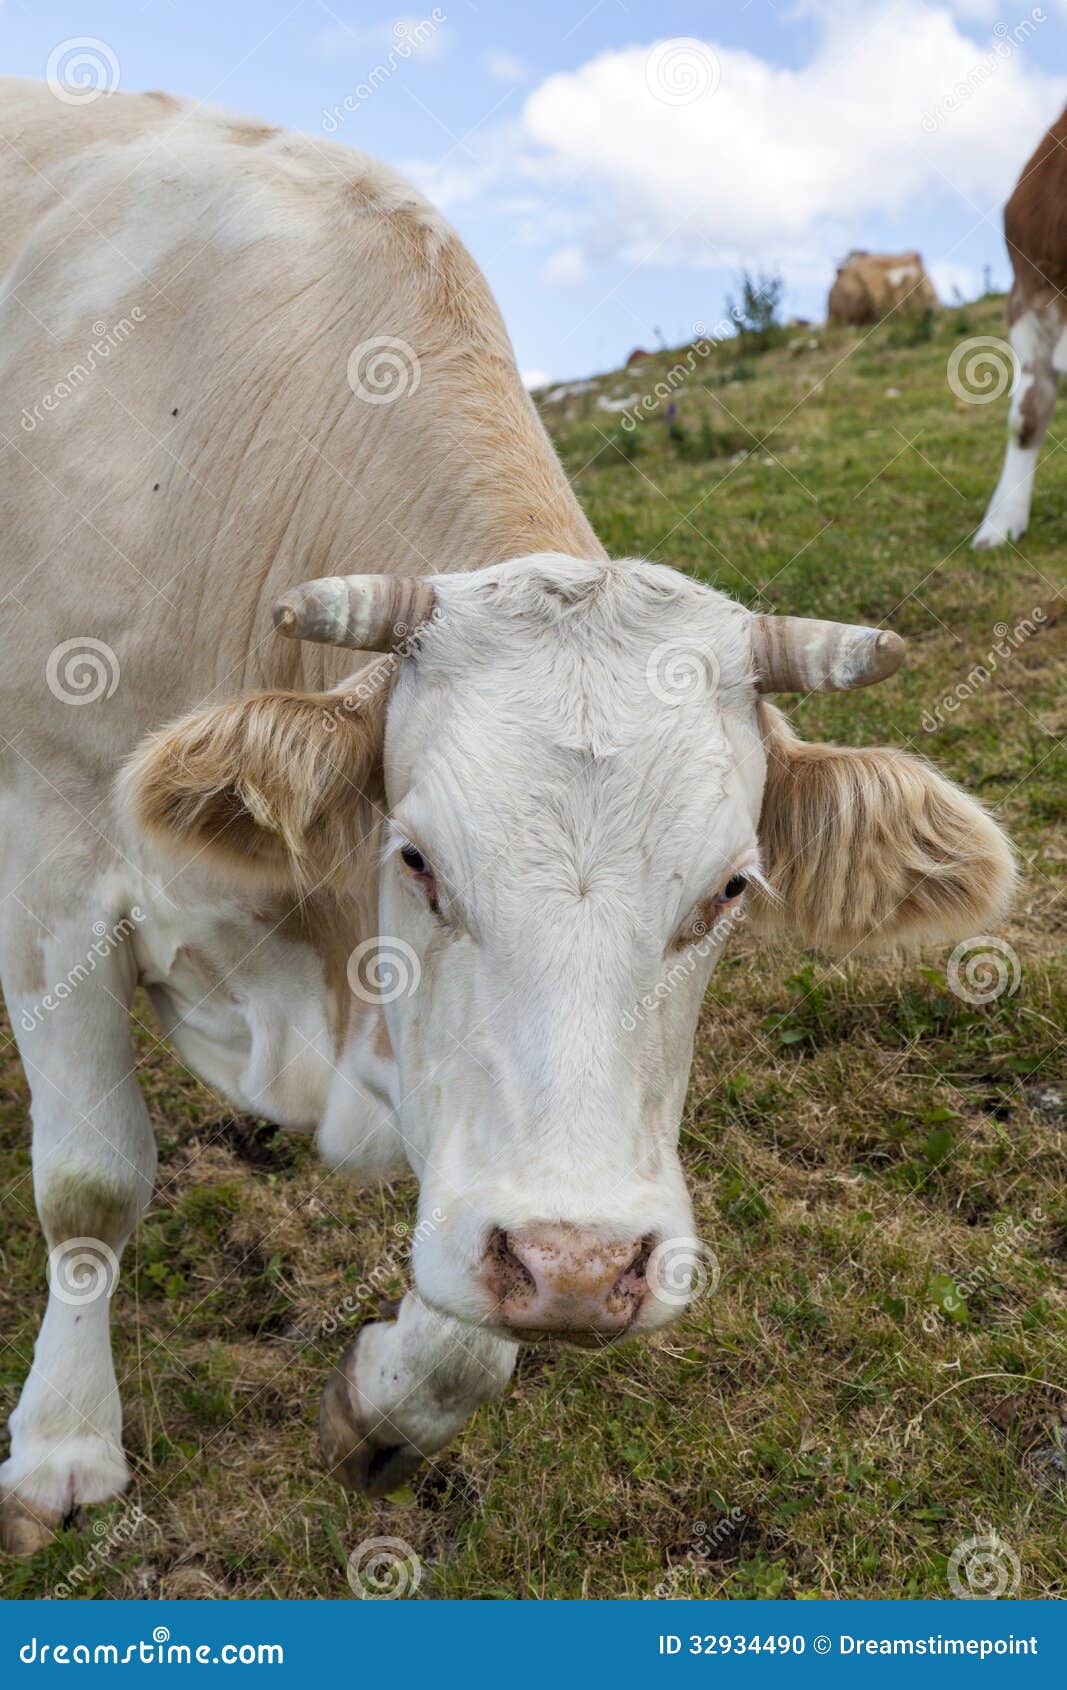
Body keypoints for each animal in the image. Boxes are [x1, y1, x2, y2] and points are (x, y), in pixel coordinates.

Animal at [0, 78, 1015, 1556]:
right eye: (418, 860)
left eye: (727, 890)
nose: (587, 1265)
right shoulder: (54, 852)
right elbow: (90, 1177)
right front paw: (65, 1445)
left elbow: (470, 1308)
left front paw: (382, 1403)